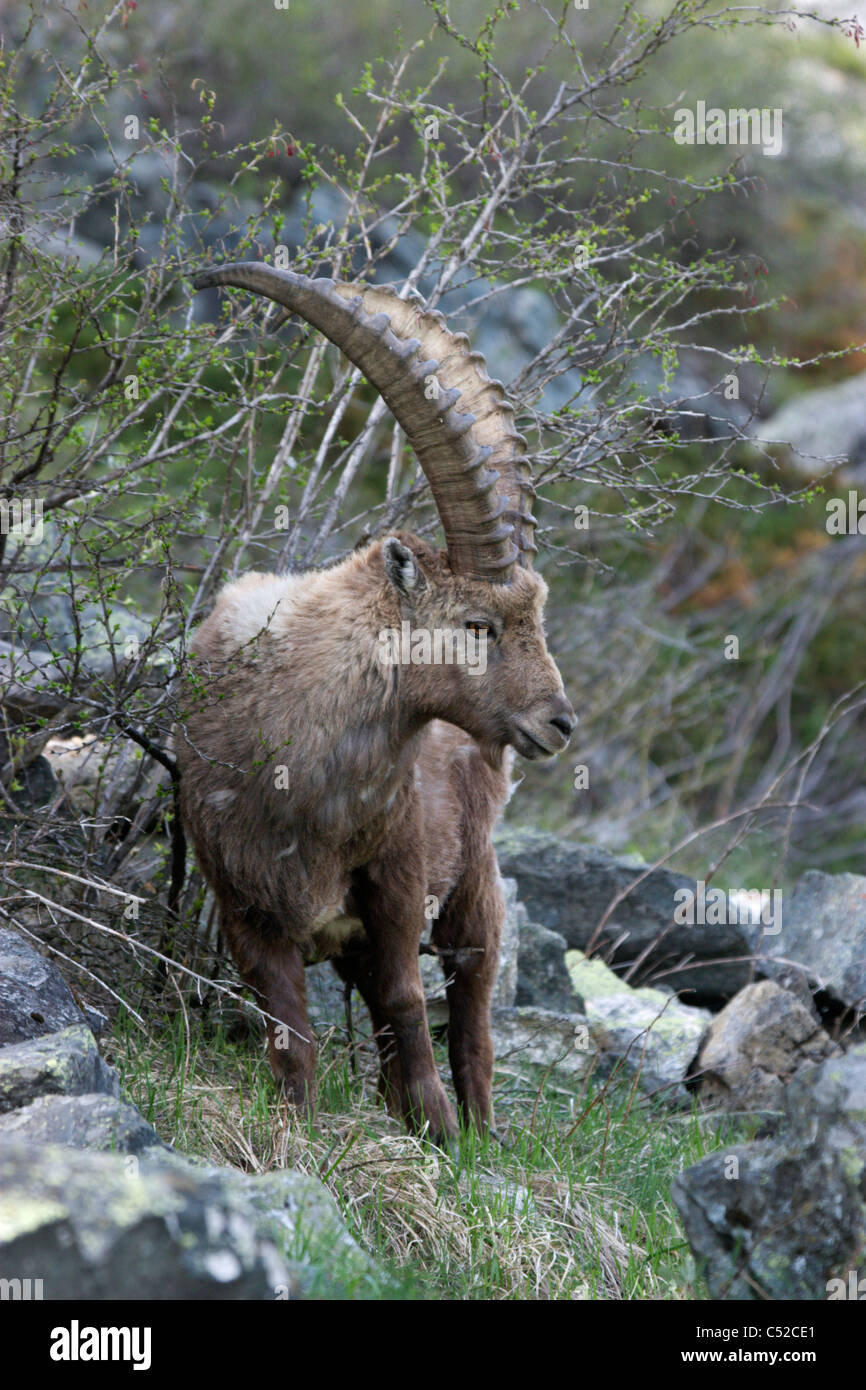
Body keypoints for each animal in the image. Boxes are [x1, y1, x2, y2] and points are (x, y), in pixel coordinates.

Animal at [177, 262, 576, 1145]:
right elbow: (288, 1027)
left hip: (476, 883)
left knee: (471, 1010)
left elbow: (405, 999)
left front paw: (442, 1136)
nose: (560, 722)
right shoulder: (243, 901)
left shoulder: (396, 879)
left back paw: (480, 1130)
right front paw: (295, 1127)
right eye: (479, 624)